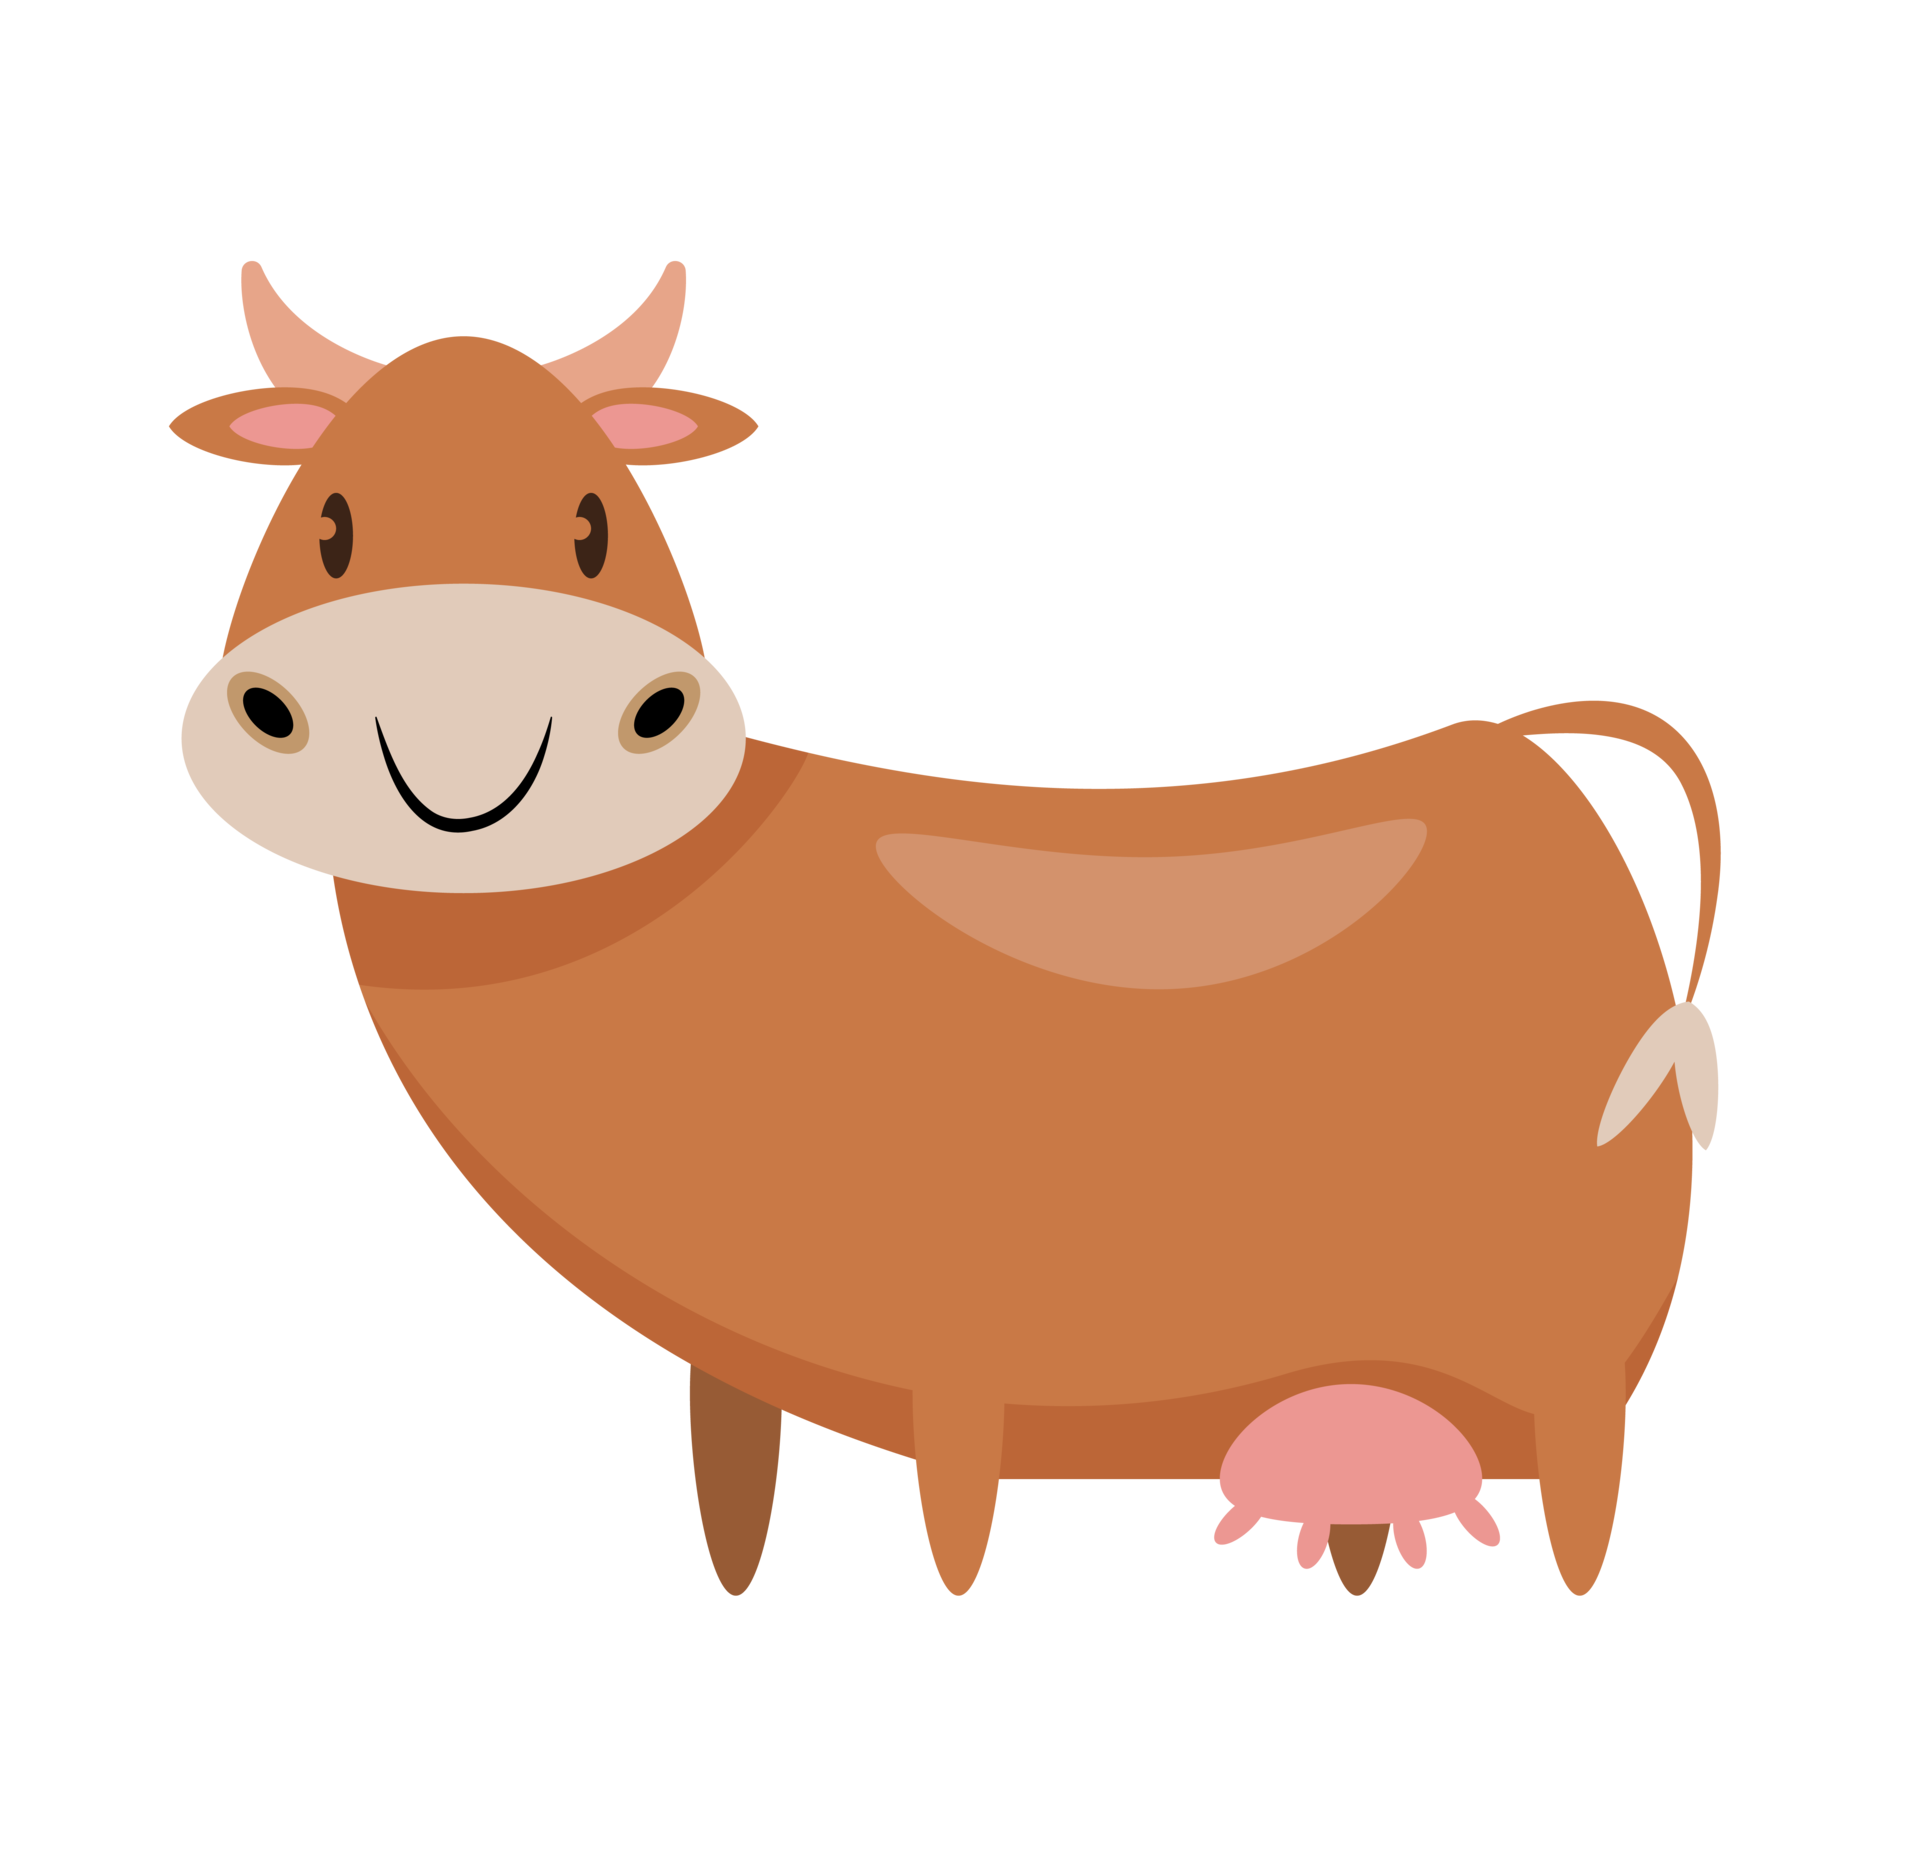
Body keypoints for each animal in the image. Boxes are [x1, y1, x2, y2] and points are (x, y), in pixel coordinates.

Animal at [171, 258, 1724, 1601]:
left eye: (594, 524)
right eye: (327, 523)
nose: (461, 735)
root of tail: (1510, 735)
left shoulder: (958, 1368)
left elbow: (954, 1535)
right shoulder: (733, 1372)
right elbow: (733, 1500)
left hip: (1574, 1355)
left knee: (1582, 1500)